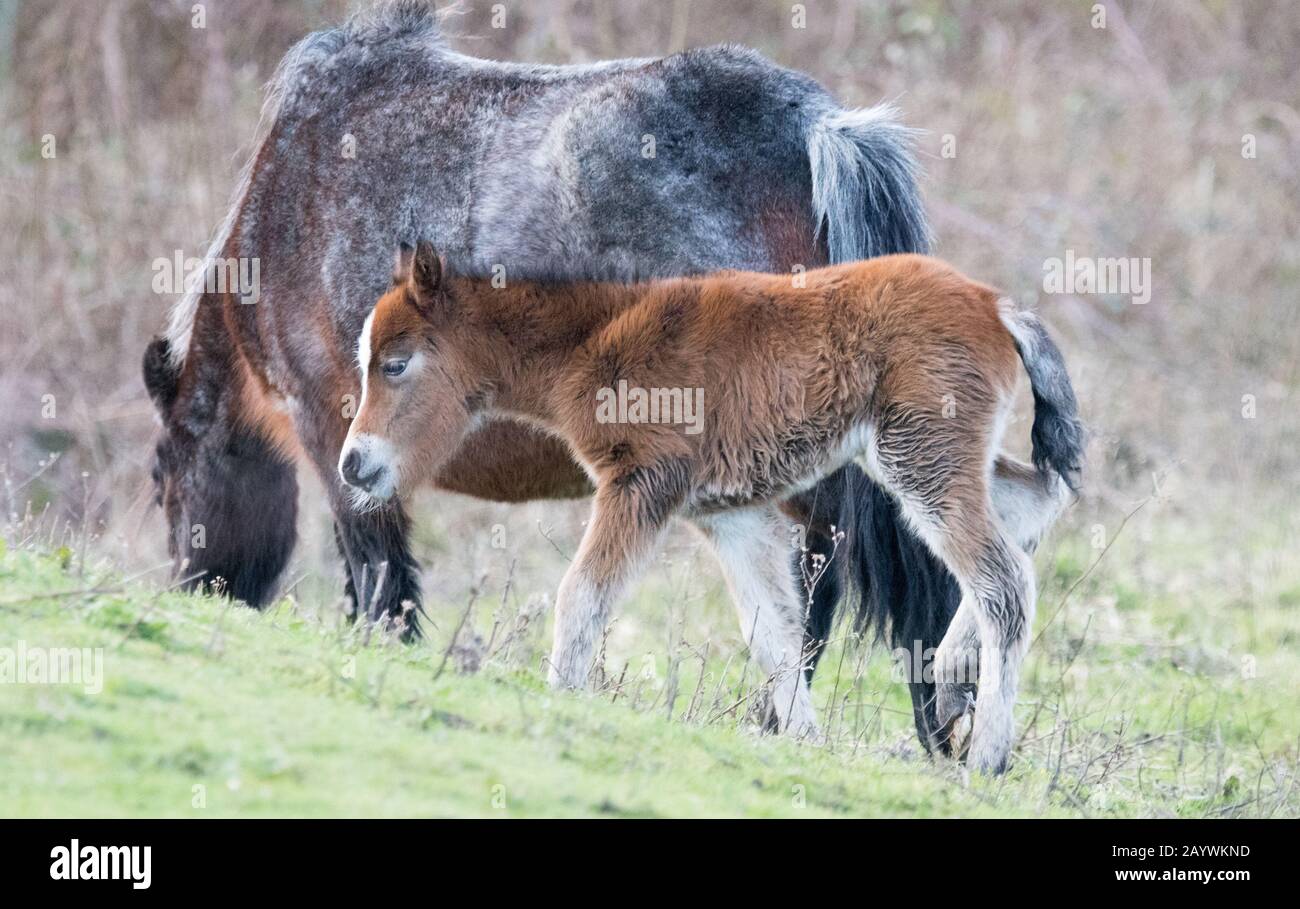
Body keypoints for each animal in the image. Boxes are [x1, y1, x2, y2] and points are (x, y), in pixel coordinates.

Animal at [342, 243, 1082, 772]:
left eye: (396, 363)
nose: (355, 463)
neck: (595, 340)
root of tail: (993, 303)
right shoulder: (729, 515)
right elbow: (774, 631)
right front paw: (805, 741)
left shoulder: (641, 483)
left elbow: (582, 596)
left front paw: (560, 702)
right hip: (917, 456)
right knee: (1035, 505)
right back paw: (955, 680)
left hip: (922, 455)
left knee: (1003, 579)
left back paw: (988, 755)